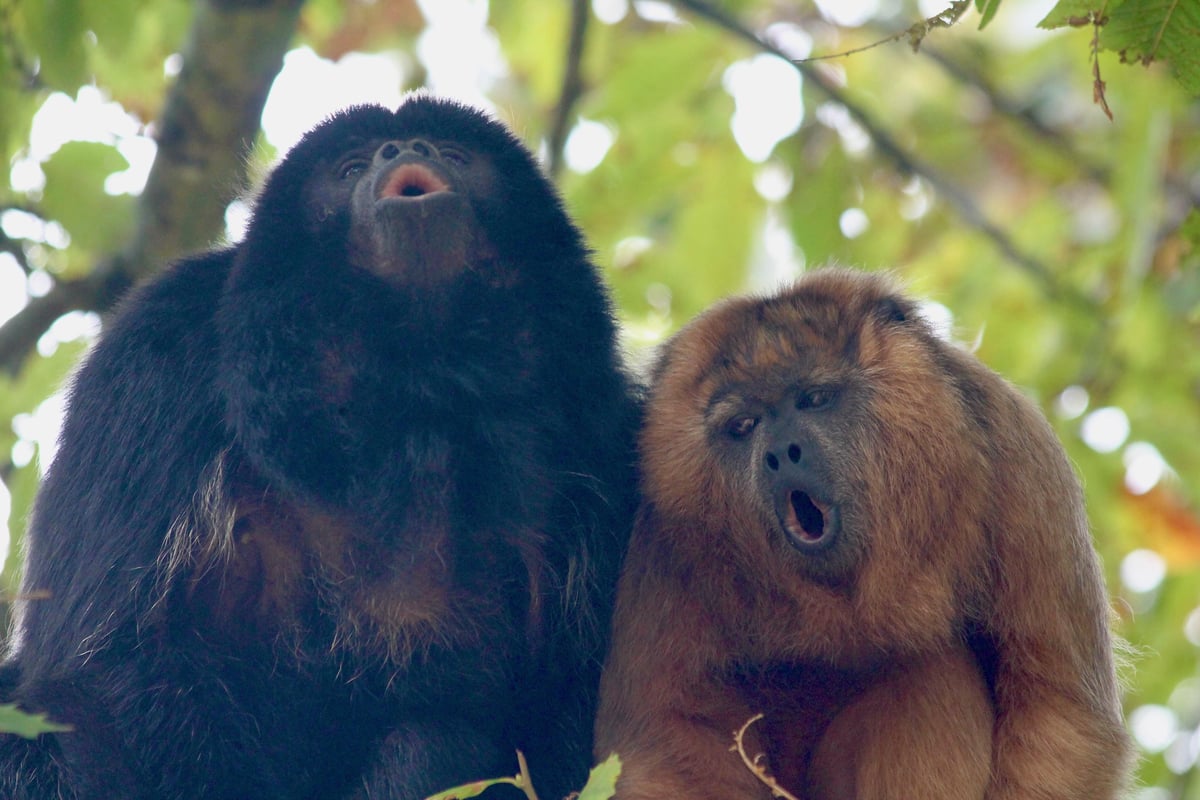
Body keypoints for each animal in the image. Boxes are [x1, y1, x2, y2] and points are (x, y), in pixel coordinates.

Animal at [0, 96, 640, 800]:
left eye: (454, 152)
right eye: (351, 166)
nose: (404, 148)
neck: (411, 398)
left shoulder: (605, 430)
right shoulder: (155, 357)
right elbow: (100, 670)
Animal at [594, 268, 1130, 799]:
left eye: (814, 399)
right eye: (744, 425)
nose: (781, 452)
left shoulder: (1017, 454)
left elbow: (1061, 711)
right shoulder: (665, 534)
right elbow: (670, 739)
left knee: (930, 671)